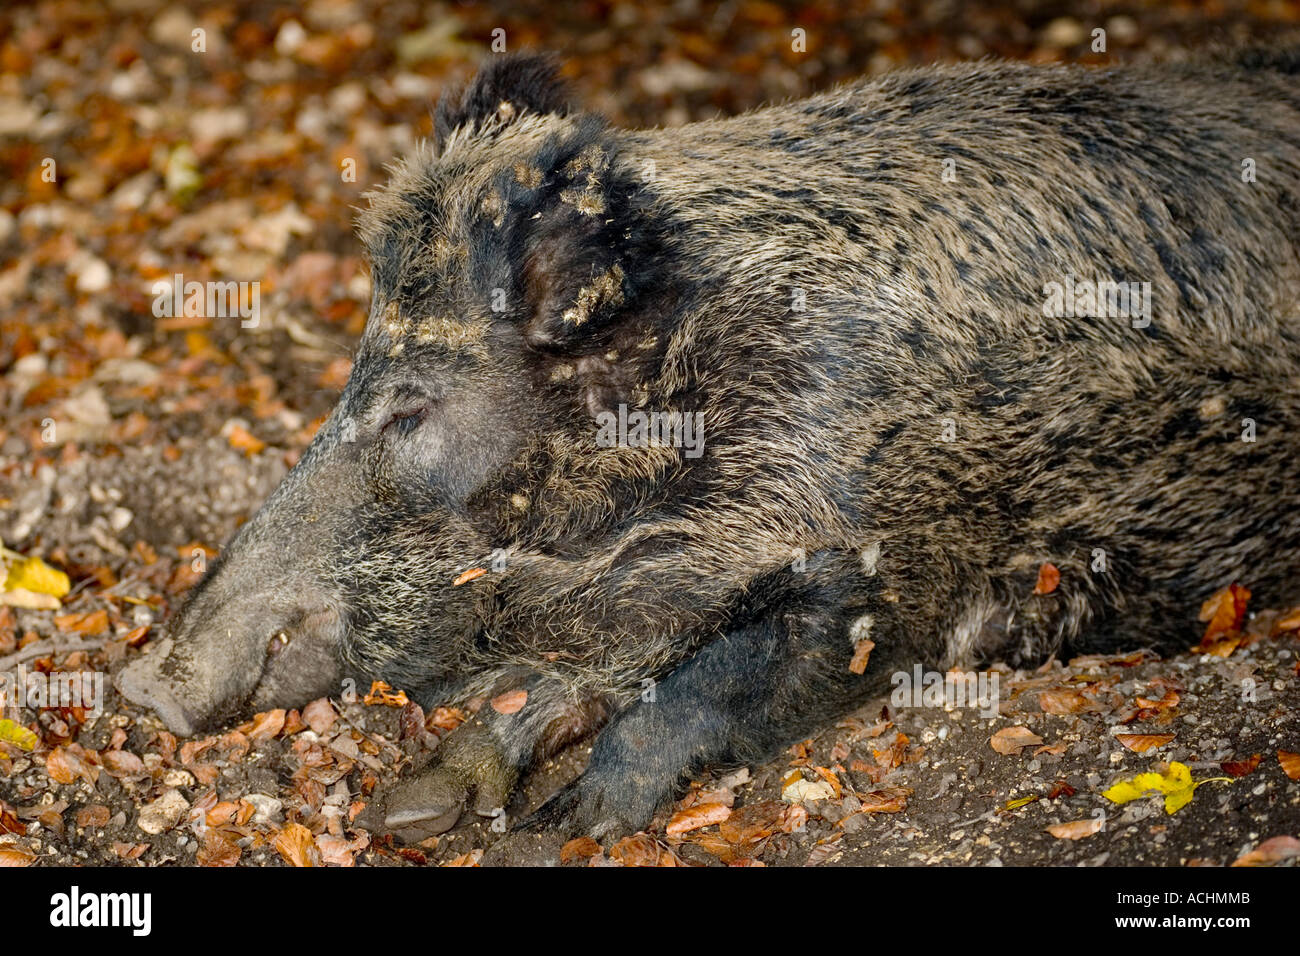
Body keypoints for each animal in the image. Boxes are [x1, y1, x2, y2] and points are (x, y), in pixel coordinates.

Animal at [118, 50, 1300, 840]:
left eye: (411, 406)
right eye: (349, 375)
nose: (141, 684)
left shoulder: (892, 569)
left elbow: (704, 684)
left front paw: (562, 827)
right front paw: (410, 810)